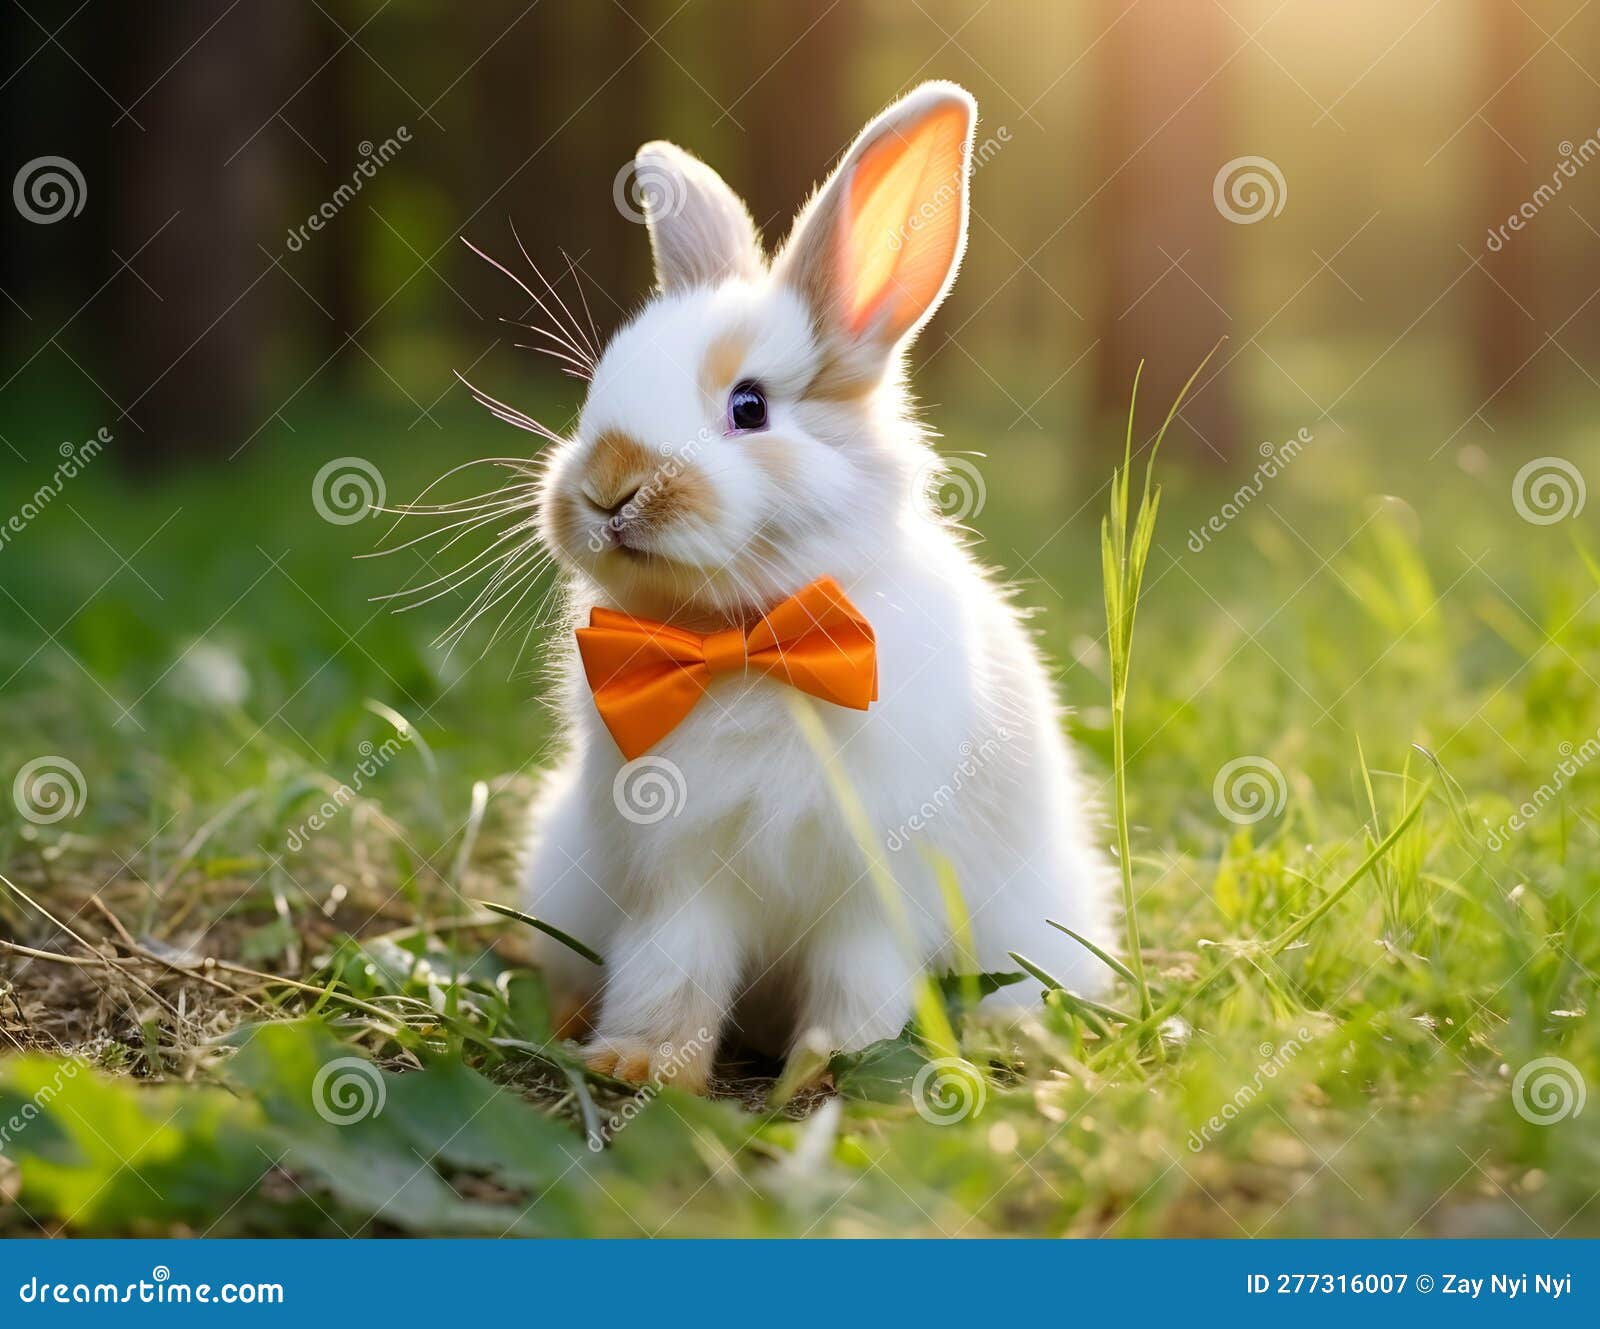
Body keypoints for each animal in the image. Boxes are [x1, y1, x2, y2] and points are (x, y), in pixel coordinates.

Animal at [518, 80, 1114, 1093]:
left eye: (749, 407)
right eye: (599, 392)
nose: (606, 487)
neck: (748, 636)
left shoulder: (876, 884)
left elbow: (857, 981)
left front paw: (829, 1064)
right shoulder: (677, 878)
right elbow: (671, 973)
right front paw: (640, 1064)